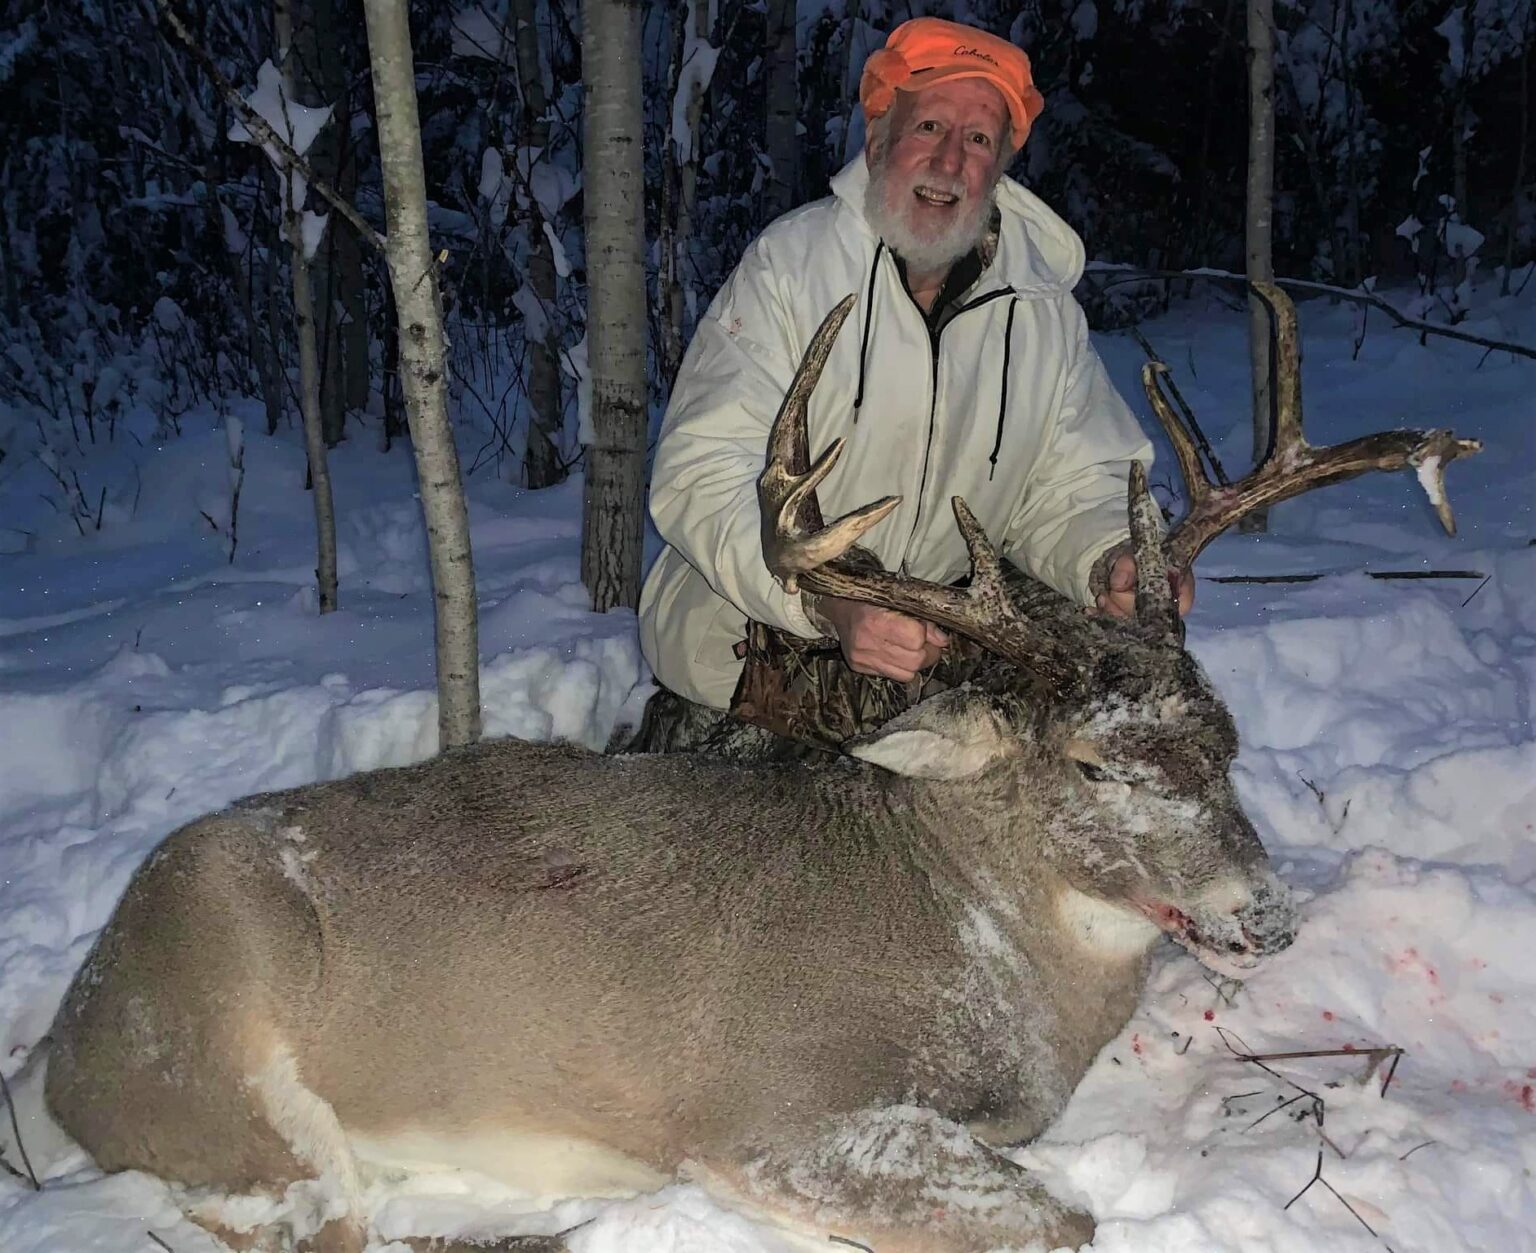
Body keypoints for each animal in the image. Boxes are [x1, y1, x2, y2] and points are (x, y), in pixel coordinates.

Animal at [2, 284, 1479, 1253]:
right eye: (1094, 765)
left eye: (1224, 738)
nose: (1265, 913)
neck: (986, 938)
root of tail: (67, 1035)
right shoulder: (779, 1102)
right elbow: (1057, 1218)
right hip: (215, 1048)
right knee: (308, 1208)